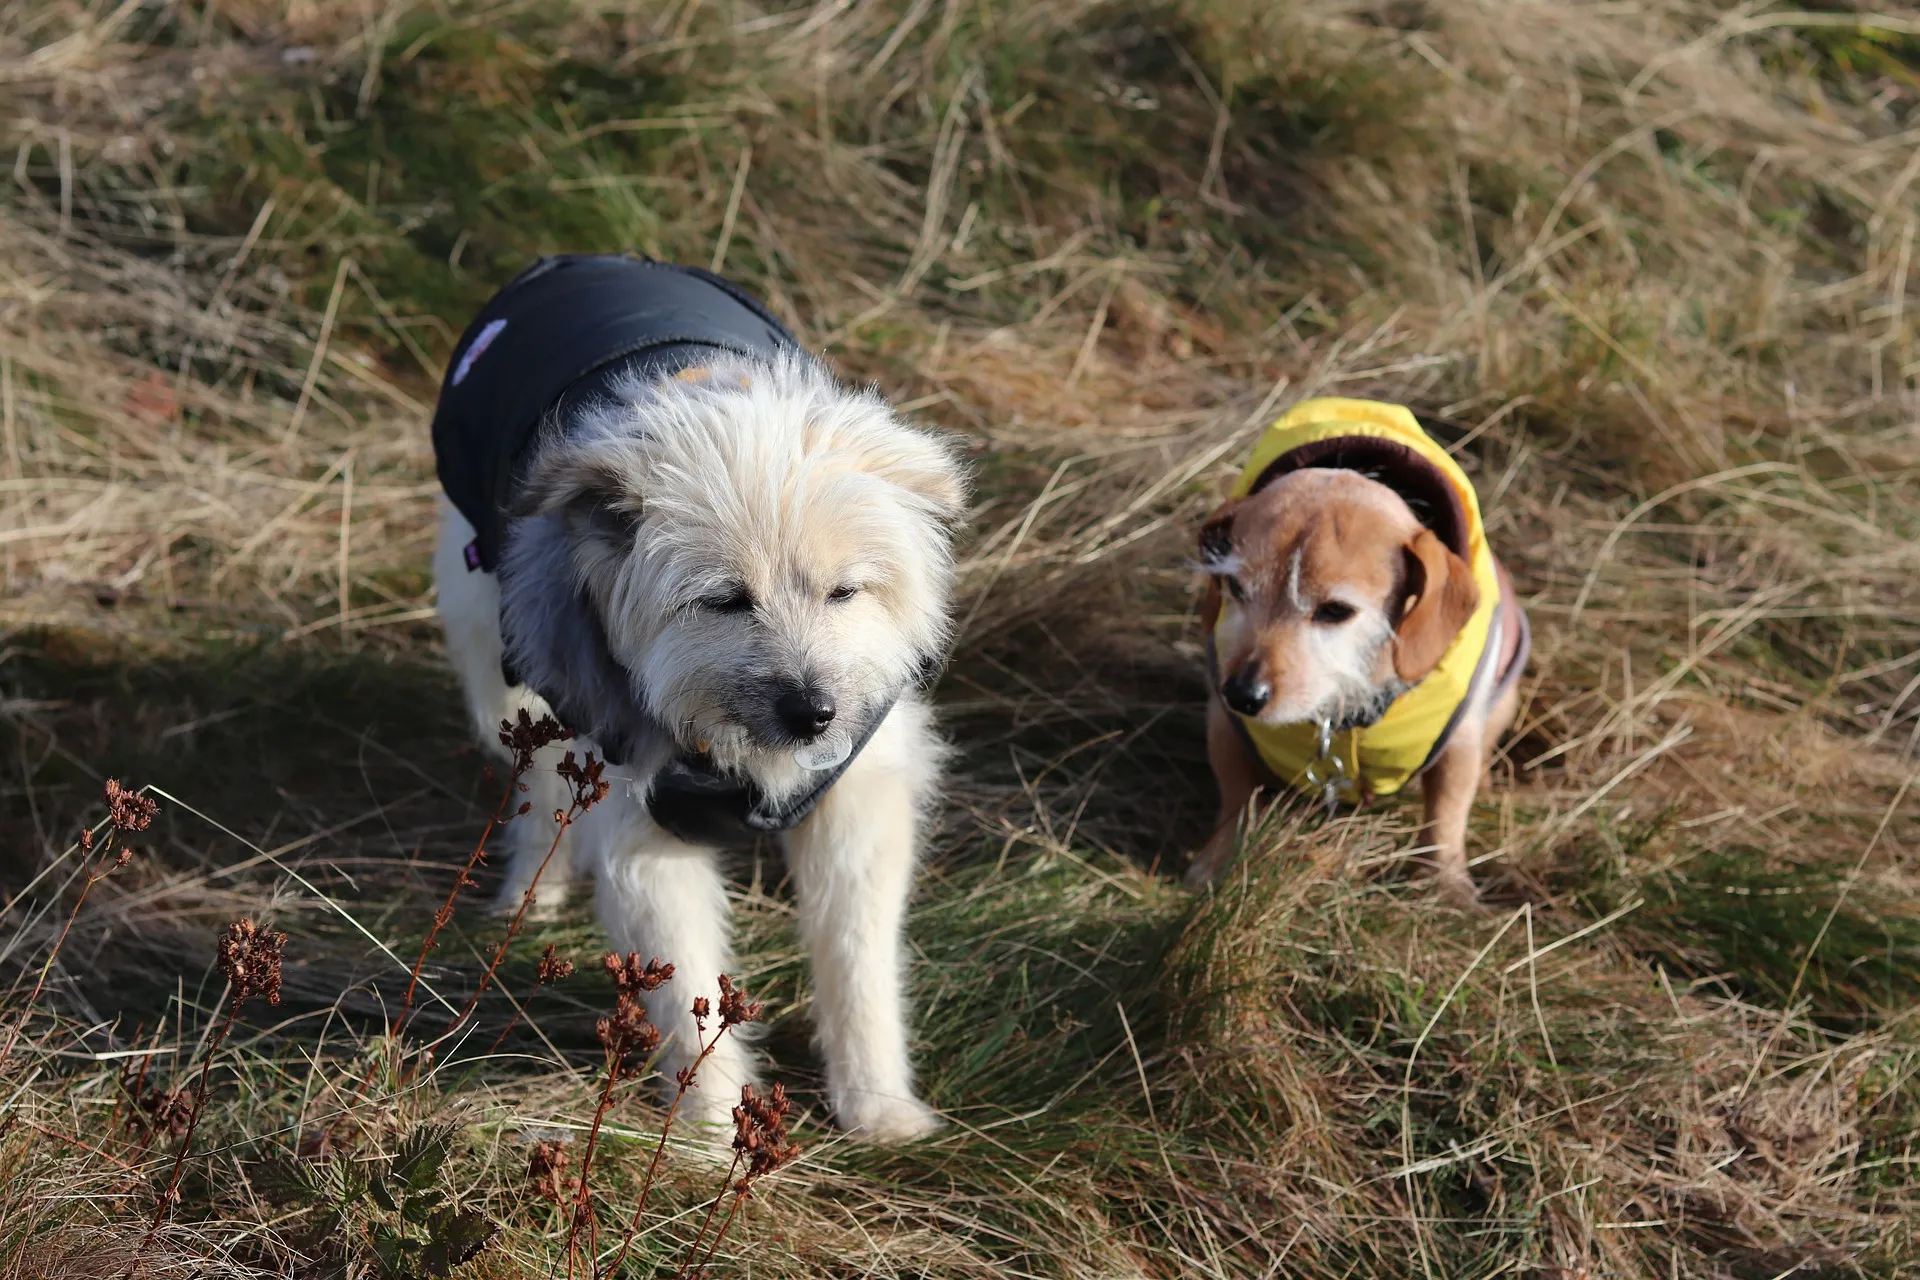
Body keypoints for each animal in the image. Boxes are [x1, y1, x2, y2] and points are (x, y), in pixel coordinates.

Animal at [439, 276, 967, 1136]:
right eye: (724, 601)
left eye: (844, 592)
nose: (814, 714)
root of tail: (573, 263)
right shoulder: (644, 834)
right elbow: (687, 996)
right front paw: (710, 1139)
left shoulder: (856, 807)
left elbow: (859, 965)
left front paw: (878, 1105)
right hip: (504, 657)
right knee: (540, 788)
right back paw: (530, 892)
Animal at [1182, 395, 1528, 905]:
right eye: (1236, 588)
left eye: (1335, 611)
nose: (1243, 695)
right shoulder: (1225, 728)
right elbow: (1236, 796)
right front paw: (1218, 861)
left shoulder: (1458, 741)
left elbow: (1446, 813)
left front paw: (1446, 884)